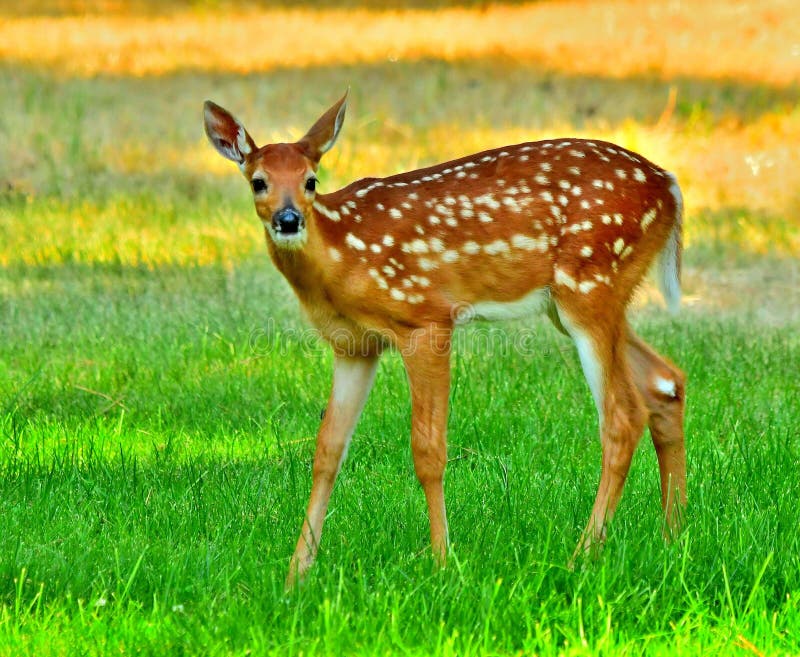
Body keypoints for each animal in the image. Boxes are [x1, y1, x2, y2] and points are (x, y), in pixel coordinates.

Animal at [203, 92, 687, 585]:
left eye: (311, 181)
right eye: (258, 182)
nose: (288, 219)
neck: (341, 256)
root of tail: (670, 187)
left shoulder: (426, 319)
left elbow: (428, 450)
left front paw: (440, 561)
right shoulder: (353, 345)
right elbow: (327, 451)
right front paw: (296, 573)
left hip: (590, 282)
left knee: (622, 415)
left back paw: (583, 554)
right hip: (579, 302)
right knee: (665, 382)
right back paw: (673, 537)